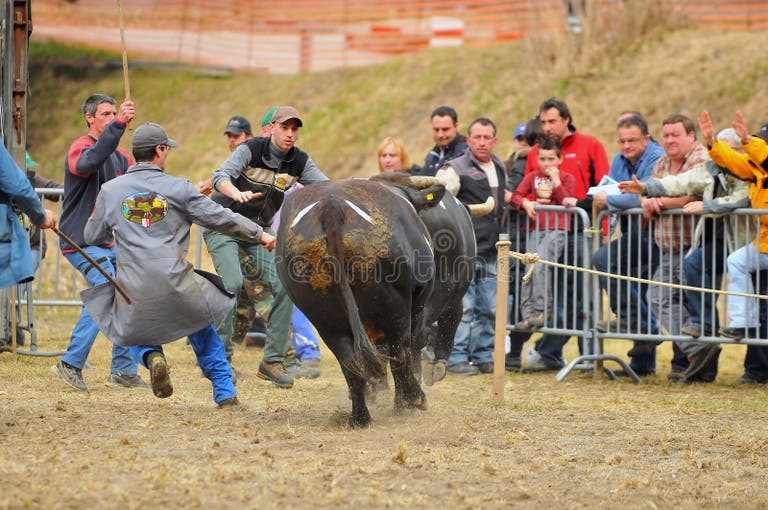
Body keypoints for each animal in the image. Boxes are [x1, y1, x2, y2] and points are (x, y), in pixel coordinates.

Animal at [275, 178, 444, 427]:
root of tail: (331, 205)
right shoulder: (418, 304)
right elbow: (409, 347)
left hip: (324, 318)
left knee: (350, 363)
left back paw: (360, 418)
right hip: (395, 308)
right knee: (399, 353)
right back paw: (411, 401)